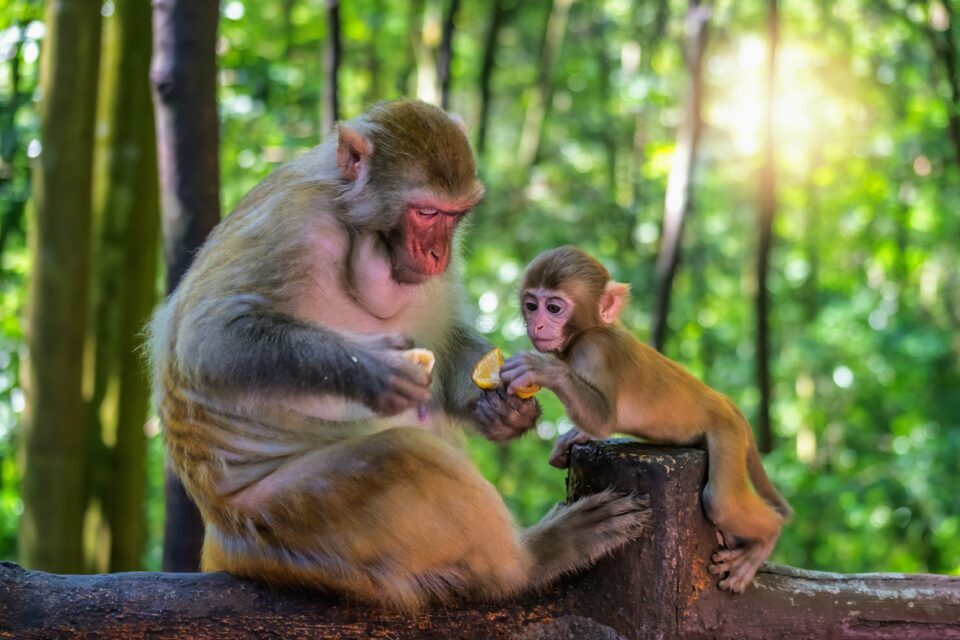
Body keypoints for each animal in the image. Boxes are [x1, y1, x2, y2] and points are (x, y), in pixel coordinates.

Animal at [149, 102, 650, 611]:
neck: (357, 232)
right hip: (280, 522)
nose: (438, 254)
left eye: (455, 216)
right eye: (425, 212)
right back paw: (532, 561)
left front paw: (501, 410)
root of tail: (226, 545)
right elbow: (209, 337)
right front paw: (372, 370)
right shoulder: (292, 224)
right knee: (403, 459)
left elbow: (445, 341)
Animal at [499, 245, 793, 594]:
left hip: (727, 433)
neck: (592, 329)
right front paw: (575, 436)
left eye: (554, 307)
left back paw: (765, 539)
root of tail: (724, 402)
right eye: (532, 306)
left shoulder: (594, 351)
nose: (538, 326)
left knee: (722, 502)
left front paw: (541, 369)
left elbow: (602, 418)